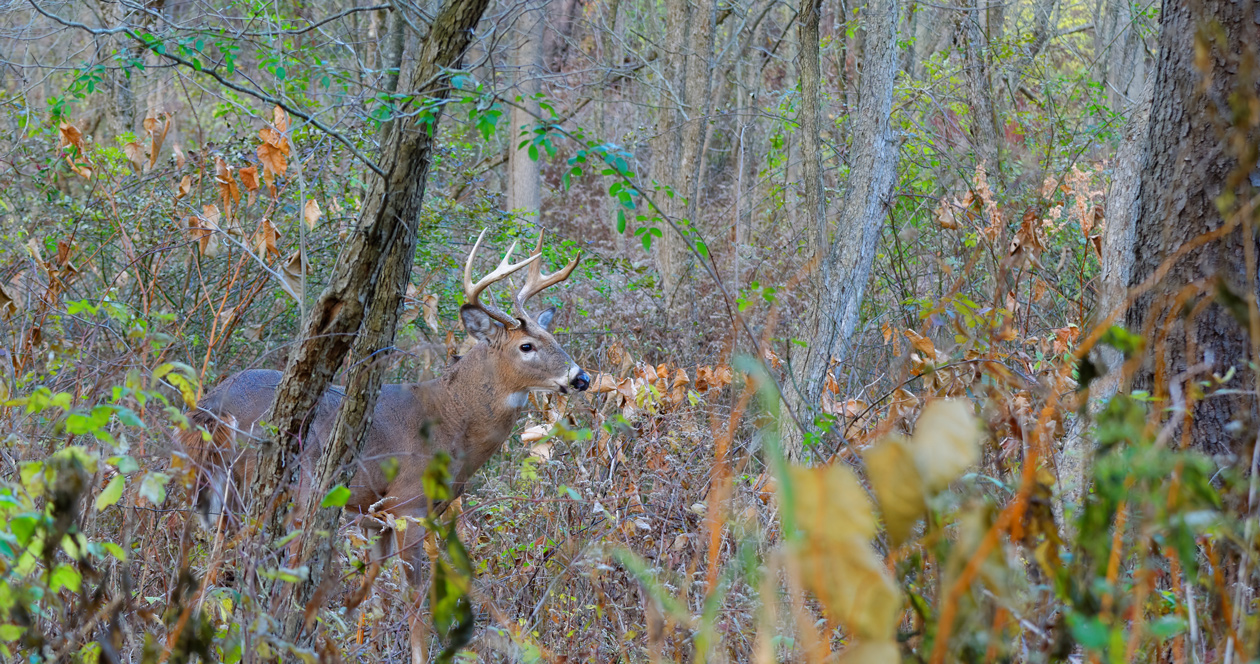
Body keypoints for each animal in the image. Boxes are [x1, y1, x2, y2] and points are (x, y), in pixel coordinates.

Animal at [178, 229, 588, 656]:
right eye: (526, 346)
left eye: (553, 338)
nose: (582, 377)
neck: (451, 422)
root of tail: (209, 405)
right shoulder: (409, 504)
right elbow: (415, 597)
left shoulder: (374, 515)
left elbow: (372, 591)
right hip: (246, 483)